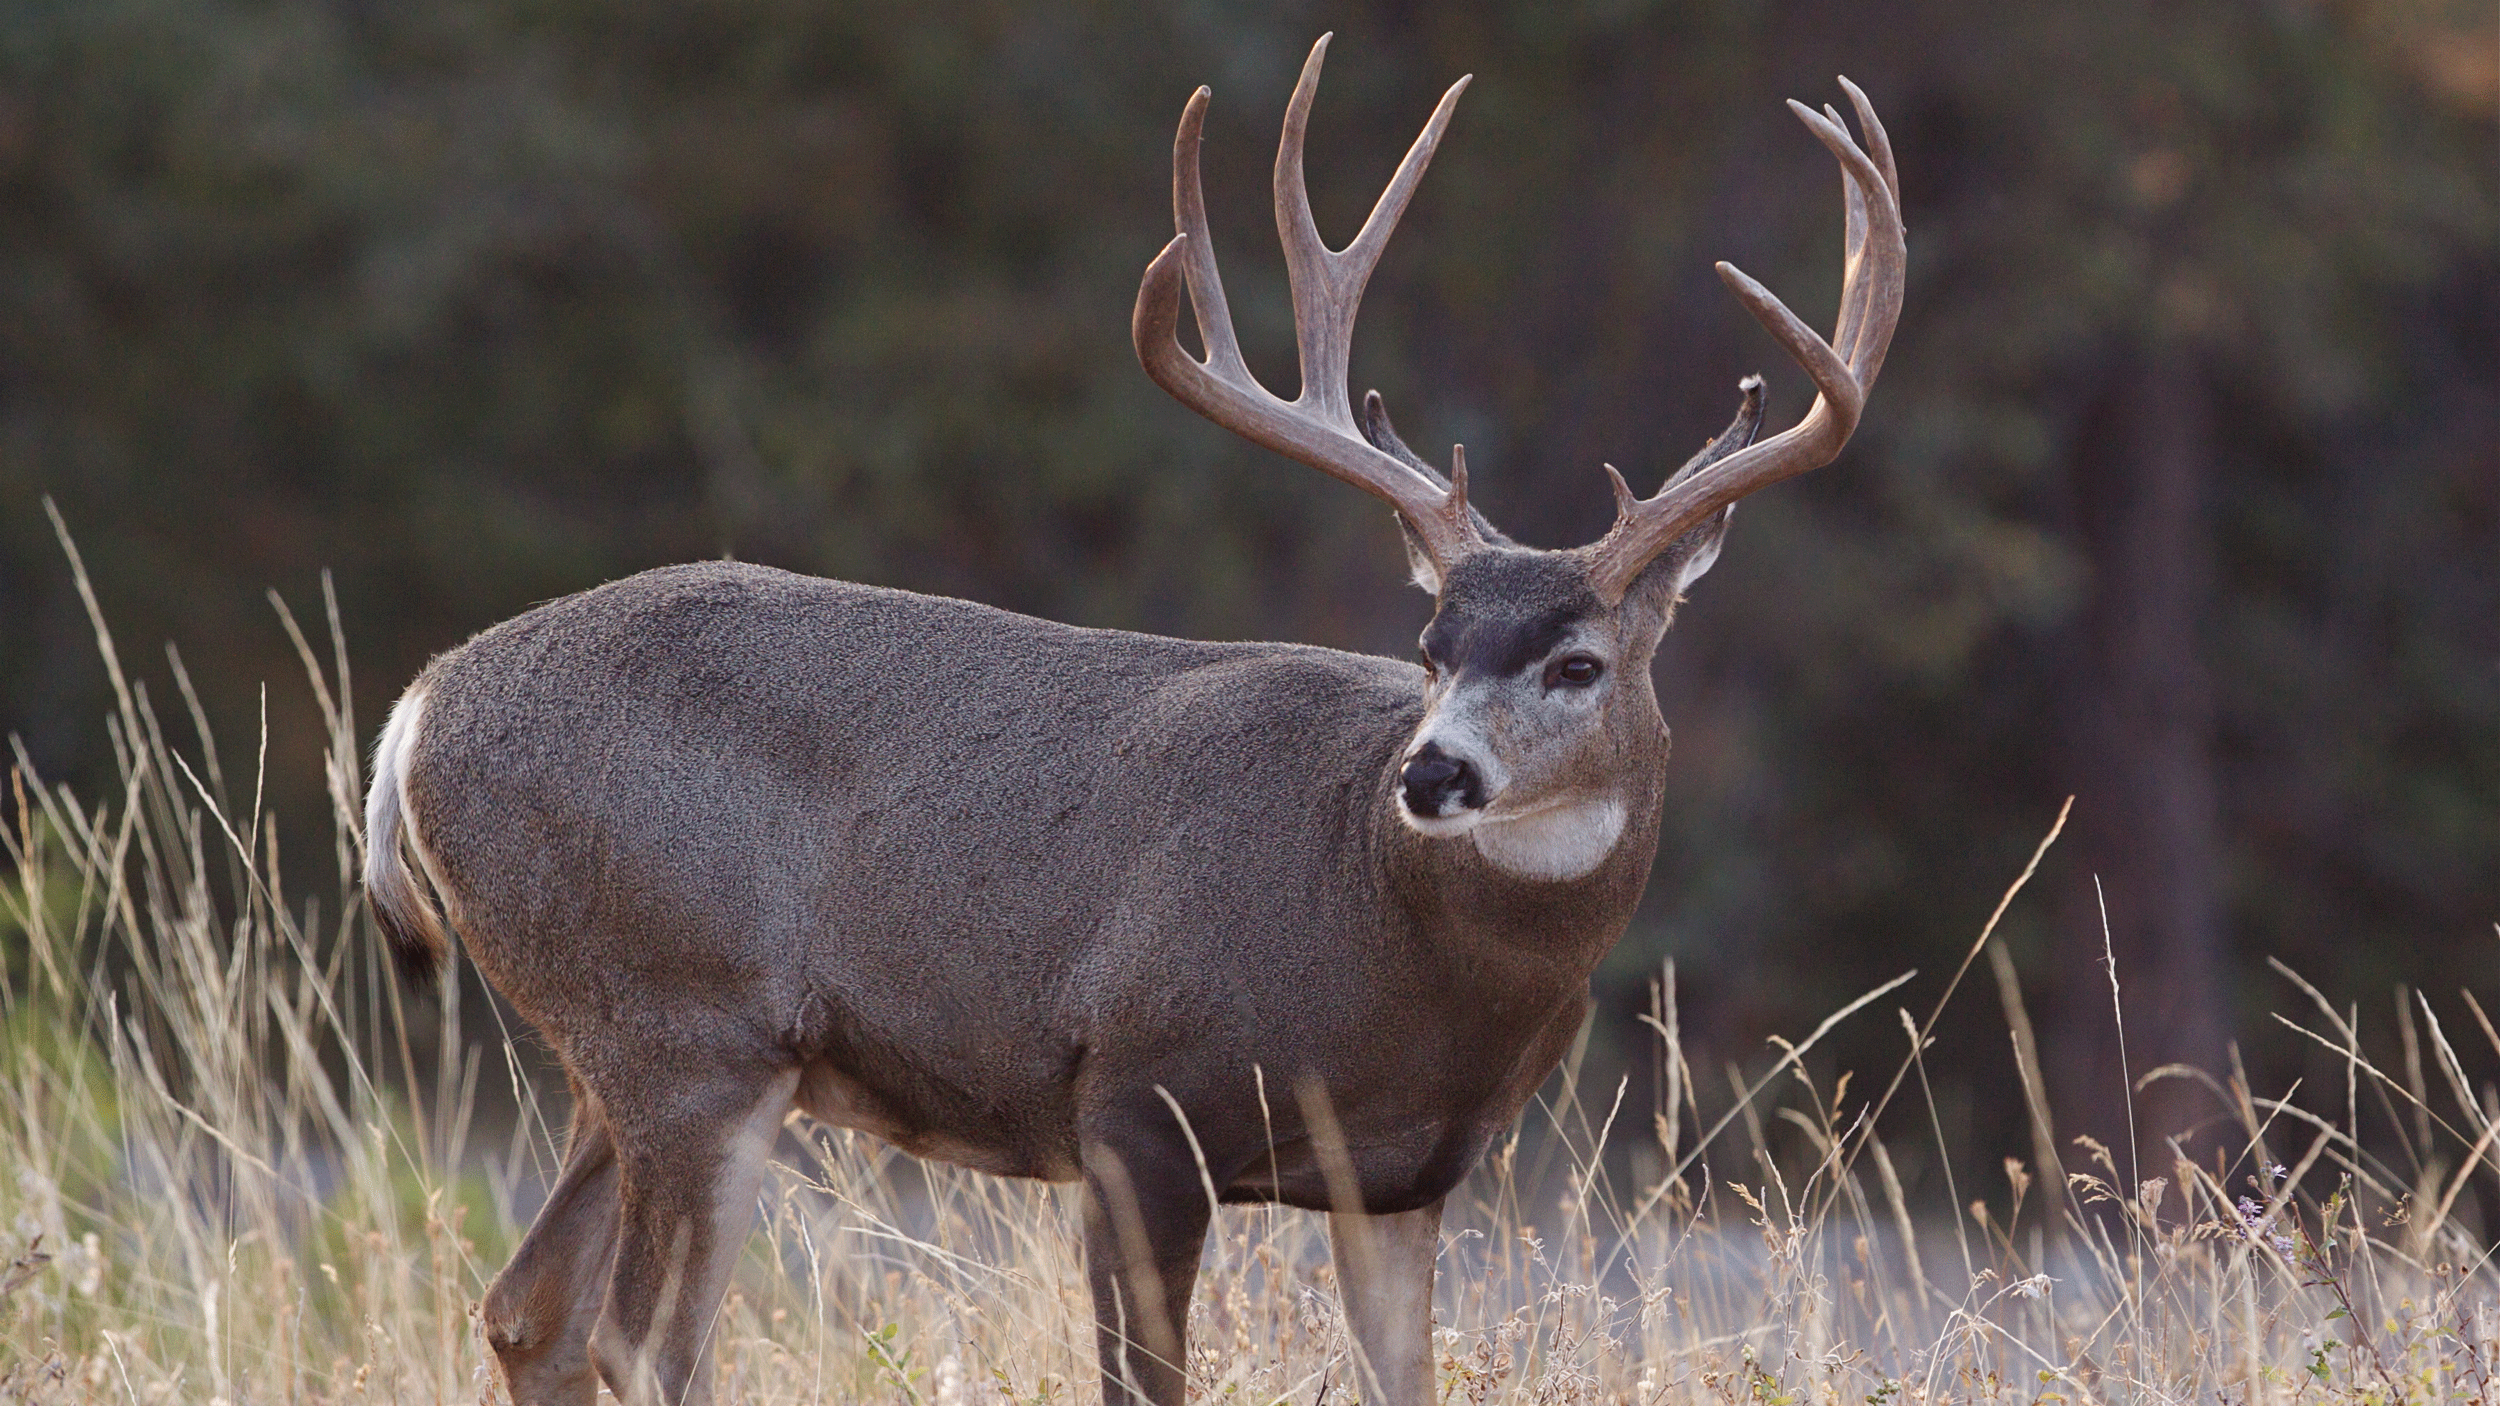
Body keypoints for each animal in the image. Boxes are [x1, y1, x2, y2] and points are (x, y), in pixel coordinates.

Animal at [360, 34, 1902, 1406]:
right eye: (1430, 645)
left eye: (1577, 662)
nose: (1434, 771)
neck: (1384, 926)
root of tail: (416, 706)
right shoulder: (1136, 1098)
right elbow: (1142, 1380)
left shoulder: (1405, 1176)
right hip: (687, 1022)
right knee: (637, 1341)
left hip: (624, 1054)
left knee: (527, 1310)